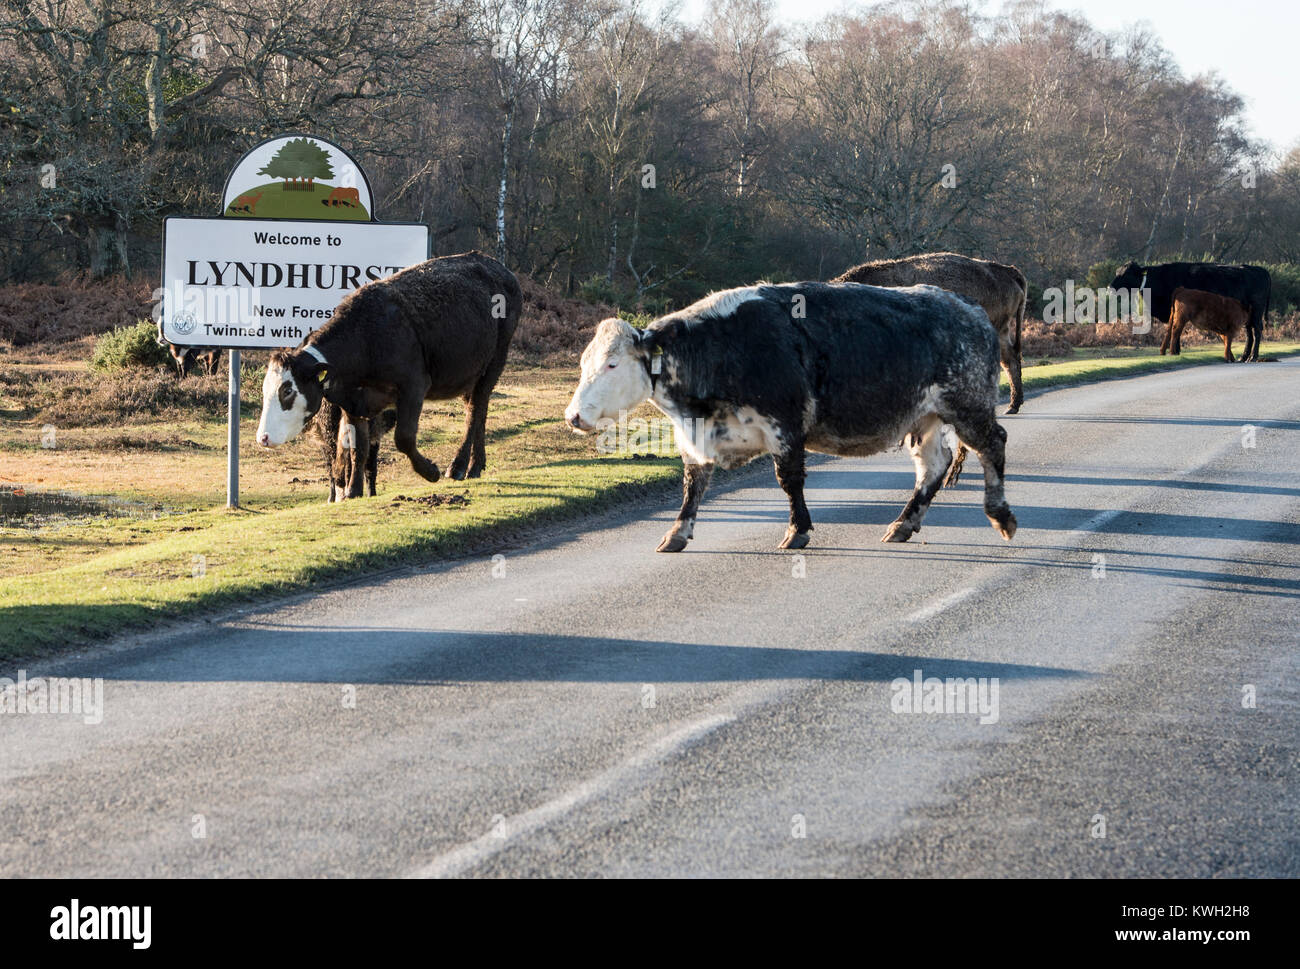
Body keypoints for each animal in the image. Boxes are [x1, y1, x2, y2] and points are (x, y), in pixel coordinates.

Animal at [255, 251, 521, 495]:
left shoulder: (413, 386)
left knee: (476, 410)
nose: (263, 438)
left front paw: (430, 471)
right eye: (265, 390)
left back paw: (459, 466)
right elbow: (358, 448)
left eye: (288, 390)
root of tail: (495, 265)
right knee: (477, 410)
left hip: (495, 361)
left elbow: (404, 438)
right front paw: (353, 492)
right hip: (470, 373)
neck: (367, 338)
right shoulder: (354, 403)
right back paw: (476, 465)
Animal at [564, 283, 1017, 552]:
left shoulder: (786, 427)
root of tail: (968, 308)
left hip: (968, 406)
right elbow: (692, 487)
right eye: (584, 364)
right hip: (925, 418)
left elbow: (789, 481)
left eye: (612, 365)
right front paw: (676, 533)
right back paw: (903, 524)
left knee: (993, 445)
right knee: (933, 467)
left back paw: (1001, 515)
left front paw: (797, 530)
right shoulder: (694, 438)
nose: (573, 416)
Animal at [1110, 261, 1271, 362]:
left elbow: (1177, 330)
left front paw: (1175, 351)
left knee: (1257, 330)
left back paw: (1253, 357)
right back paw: (1244, 357)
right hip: (1248, 315)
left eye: (1126, 273)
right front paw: (1176, 351)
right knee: (1249, 333)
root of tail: (1258, 269)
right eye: (1117, 272)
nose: (1110, 287)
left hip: (1256, 312)